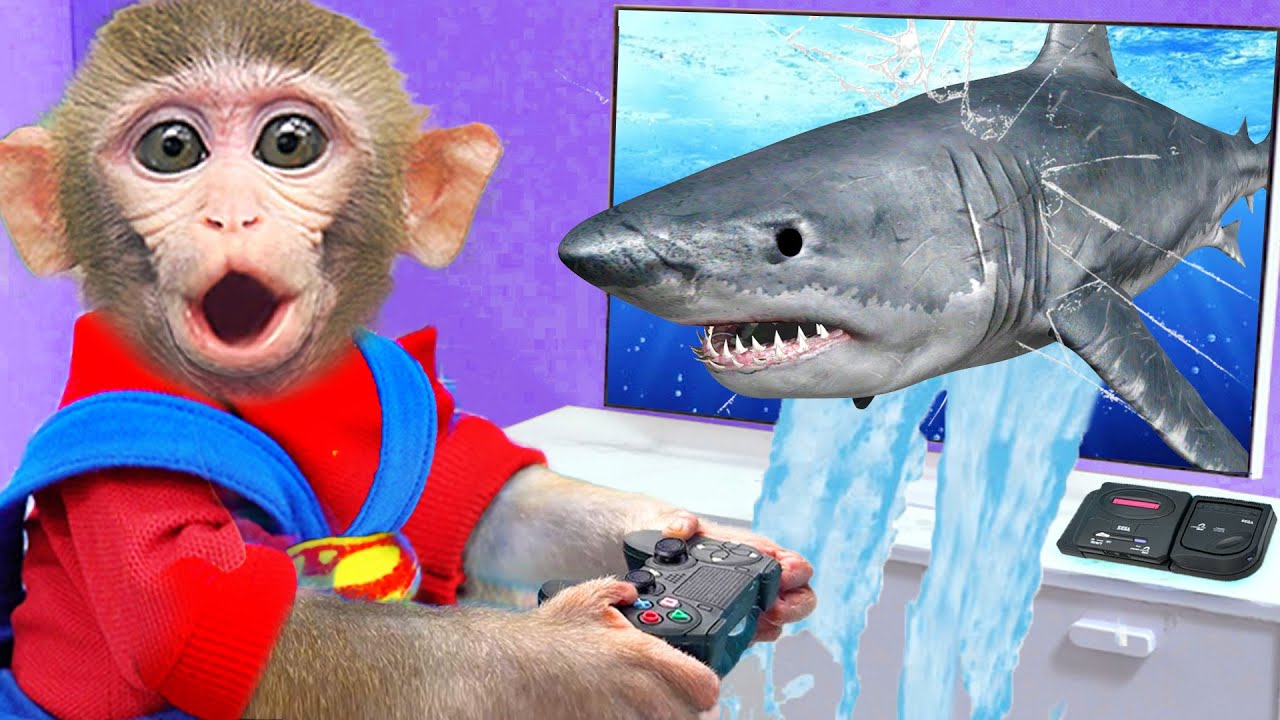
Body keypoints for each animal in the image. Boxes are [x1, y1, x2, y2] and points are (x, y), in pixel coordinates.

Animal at [0, 1, 816, 719]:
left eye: (288, 142)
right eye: (171, 148)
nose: (231, 214)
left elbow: (476, 500)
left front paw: (734, 553)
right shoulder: (125, 413)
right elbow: (217, 612)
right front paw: (590, 659)